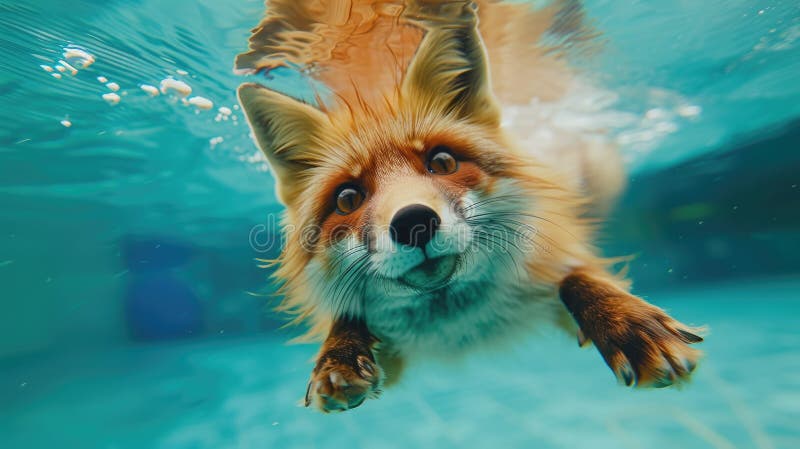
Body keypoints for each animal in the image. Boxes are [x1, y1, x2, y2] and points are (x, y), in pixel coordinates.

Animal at [235, 0, 704, 413]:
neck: (457, 323)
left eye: (442, 161)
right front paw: (339, 355)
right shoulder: (395, 355)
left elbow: (576, 275)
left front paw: (627, 323)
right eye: (348, 198)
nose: (414, 222)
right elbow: (348, 320)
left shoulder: (546, 269)